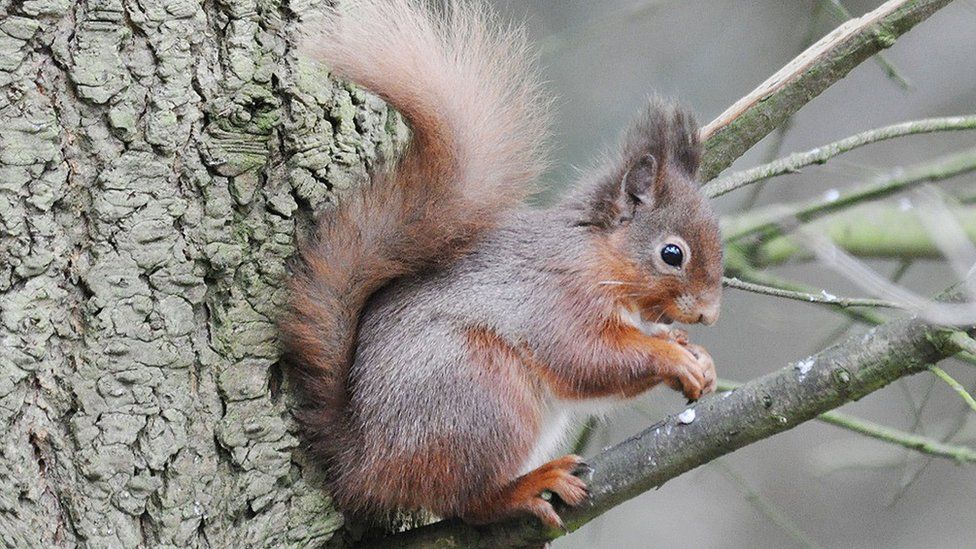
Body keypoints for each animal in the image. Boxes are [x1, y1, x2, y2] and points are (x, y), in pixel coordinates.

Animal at [281, 0, 723, 530]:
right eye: (672, 254)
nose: (710, 314)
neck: (598, 258)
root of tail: (364, 463)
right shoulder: (556, 300)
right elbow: (588, 359)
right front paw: (673, 357)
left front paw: (693, 353)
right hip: (483, 394)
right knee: (467, 502)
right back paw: (528, 486)